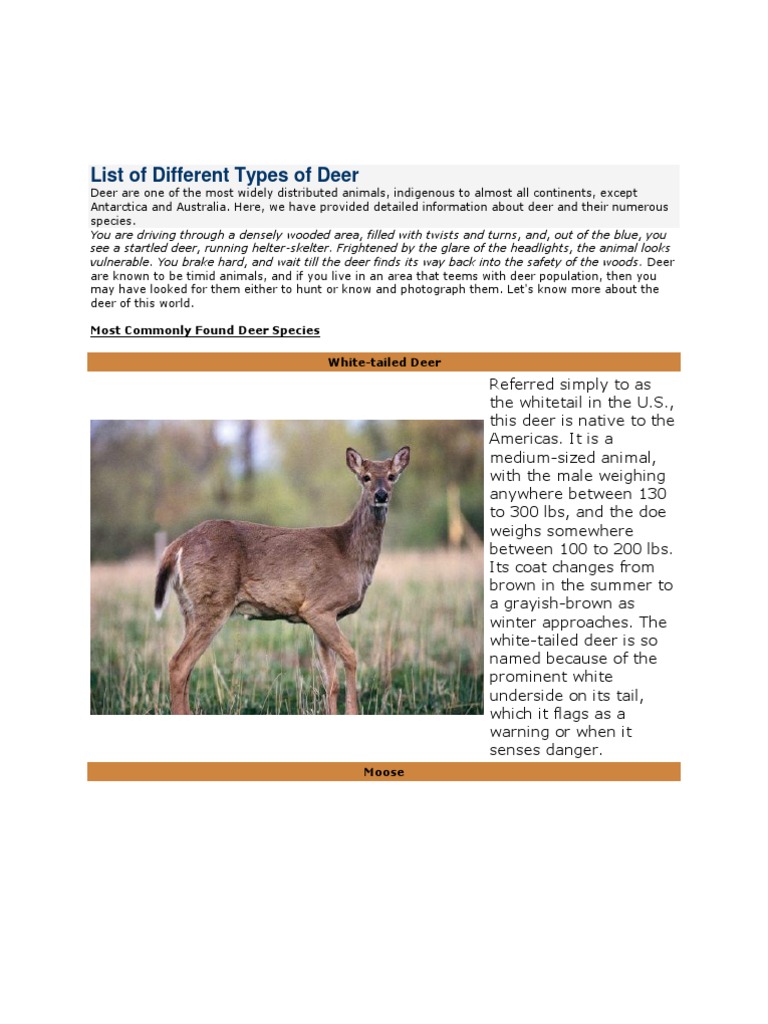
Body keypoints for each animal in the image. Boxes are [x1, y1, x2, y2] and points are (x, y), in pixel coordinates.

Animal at [154, 446, 410, 715]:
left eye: (392, 476)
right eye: (365, 477)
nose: (381, 495)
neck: (350, 553)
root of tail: (176, 546)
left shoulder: (323, 617)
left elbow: (330, 680)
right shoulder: (319, 608)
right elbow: (351, 657)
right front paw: (353, 711)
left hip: (189, 609)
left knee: (185, 667)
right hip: (212, 602)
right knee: (179, 664)